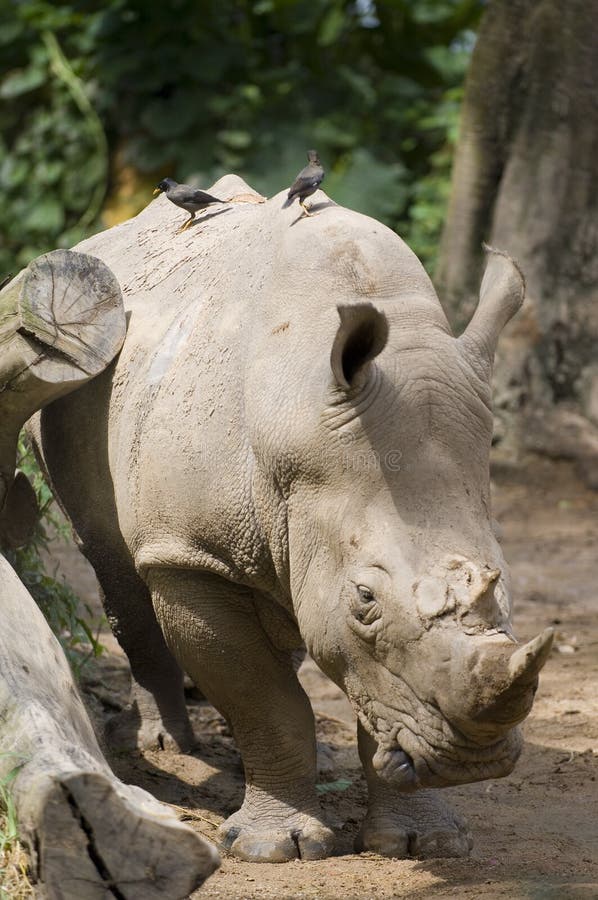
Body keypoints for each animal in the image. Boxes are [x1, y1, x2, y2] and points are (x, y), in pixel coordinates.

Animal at [33, 175, 553, 863]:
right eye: (365, 600)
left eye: (505, 582)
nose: (475, 762)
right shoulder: (192, 557)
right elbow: (266, 702)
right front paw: (274, 849)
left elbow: (367, 685)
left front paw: (425, 842)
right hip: (79, 381)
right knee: (112, 562)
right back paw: (164, 747)